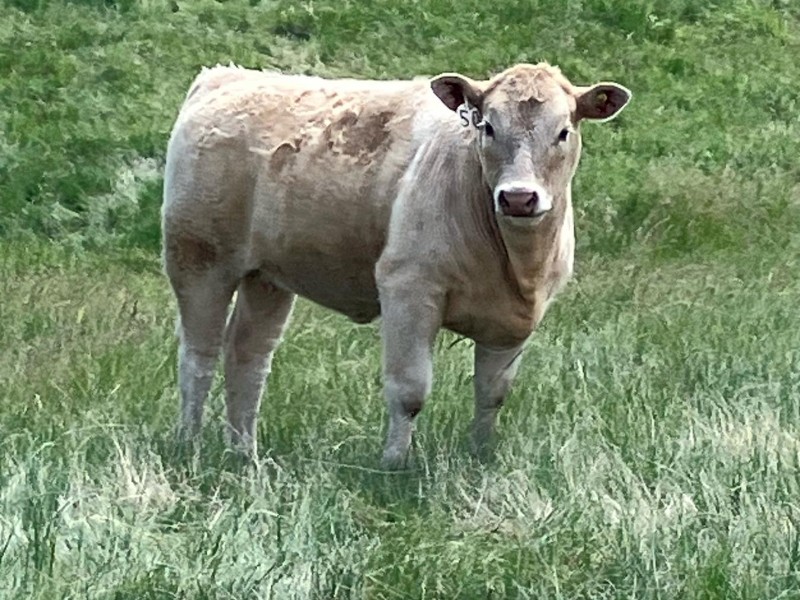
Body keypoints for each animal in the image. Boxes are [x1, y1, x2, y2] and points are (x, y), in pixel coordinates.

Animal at [161, 62, 630, 469]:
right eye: (488, 126)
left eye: (563, 132)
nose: (518, 197)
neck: (517, 264)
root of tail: (227, 76)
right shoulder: (409, 288)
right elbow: (409, 389)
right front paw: (393, 464)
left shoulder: (515, 321)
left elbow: (492, 393)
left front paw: (480, 455)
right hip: (198, 257)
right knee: (199, 354)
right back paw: (189, 442)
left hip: (268, 278)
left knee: (248, 355)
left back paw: (244, 452)